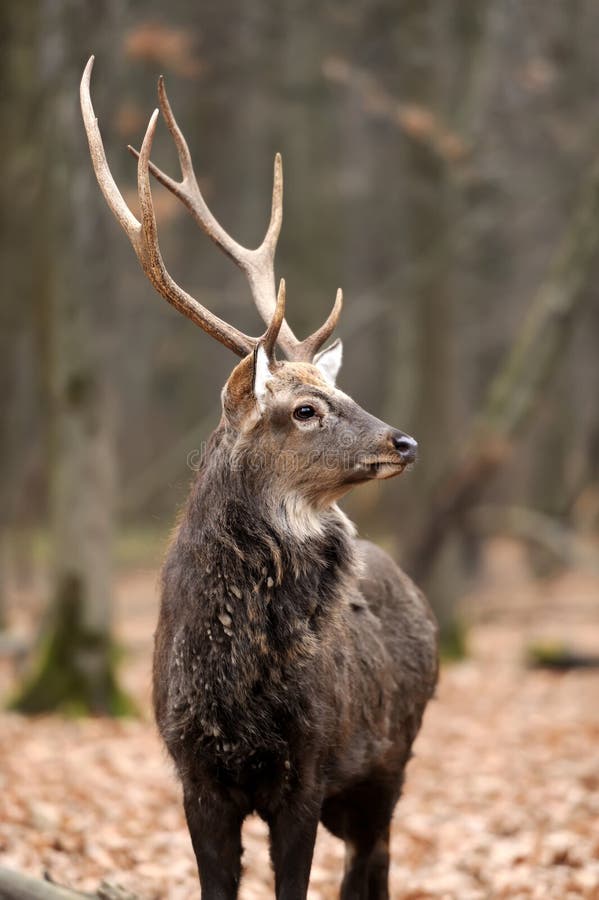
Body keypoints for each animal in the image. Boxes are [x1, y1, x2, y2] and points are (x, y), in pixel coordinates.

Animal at [80, 56, 438, 900]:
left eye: (341, 393)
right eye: (305, 409)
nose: (403, 440)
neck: (234, 685)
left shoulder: (307, 767)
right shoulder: (193, 773)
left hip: (389, 760)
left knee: (373, 862)